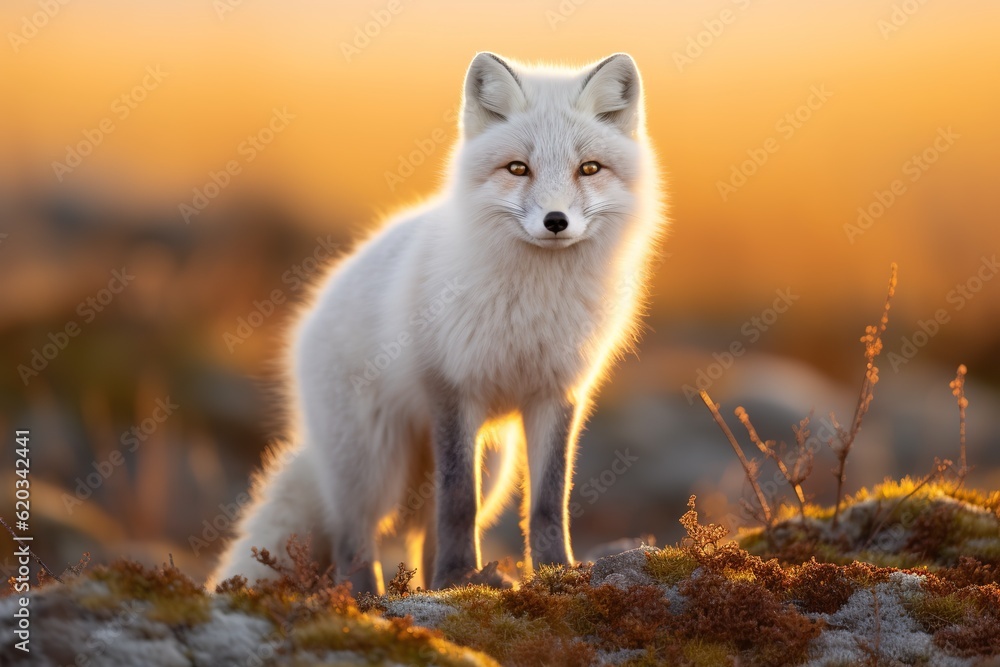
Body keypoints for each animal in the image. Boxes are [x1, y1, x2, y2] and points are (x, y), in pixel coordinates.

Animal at [210, 51, 666, 594]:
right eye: (518, 168)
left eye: (589, 168)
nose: (556, 221)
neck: (533, 302)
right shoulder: (450, 387)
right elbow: (458, 503)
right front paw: (457, 576)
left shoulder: (557, 393)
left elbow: (548, 503)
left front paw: (555, 572)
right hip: (374, 465)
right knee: (353, 536)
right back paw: (367, 598)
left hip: (491, 464)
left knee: (420, 532)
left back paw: (439, 584)